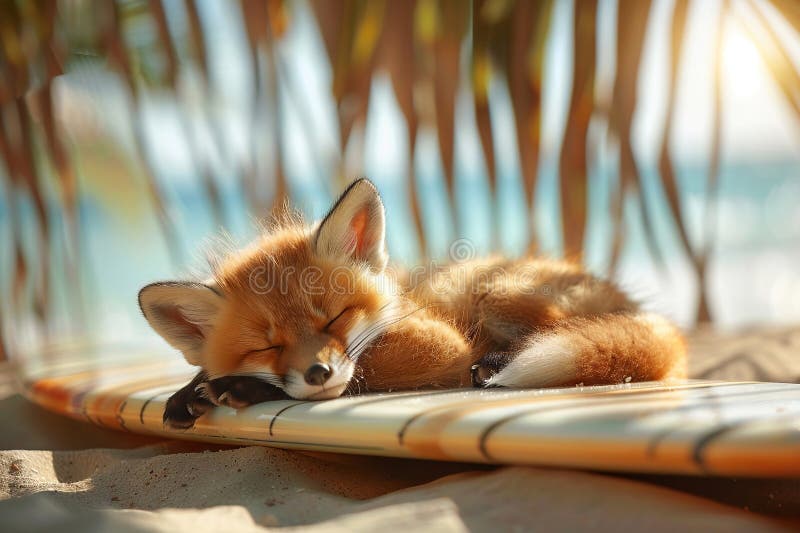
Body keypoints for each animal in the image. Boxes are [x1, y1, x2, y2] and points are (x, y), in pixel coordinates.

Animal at [139, 178, 687, 429]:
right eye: (265, 347)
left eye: (336, 317)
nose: (317, 372)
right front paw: (192, 388)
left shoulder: (440, 344)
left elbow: (362, 369)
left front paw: (239, 388)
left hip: (496, 291)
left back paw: (498, 364)